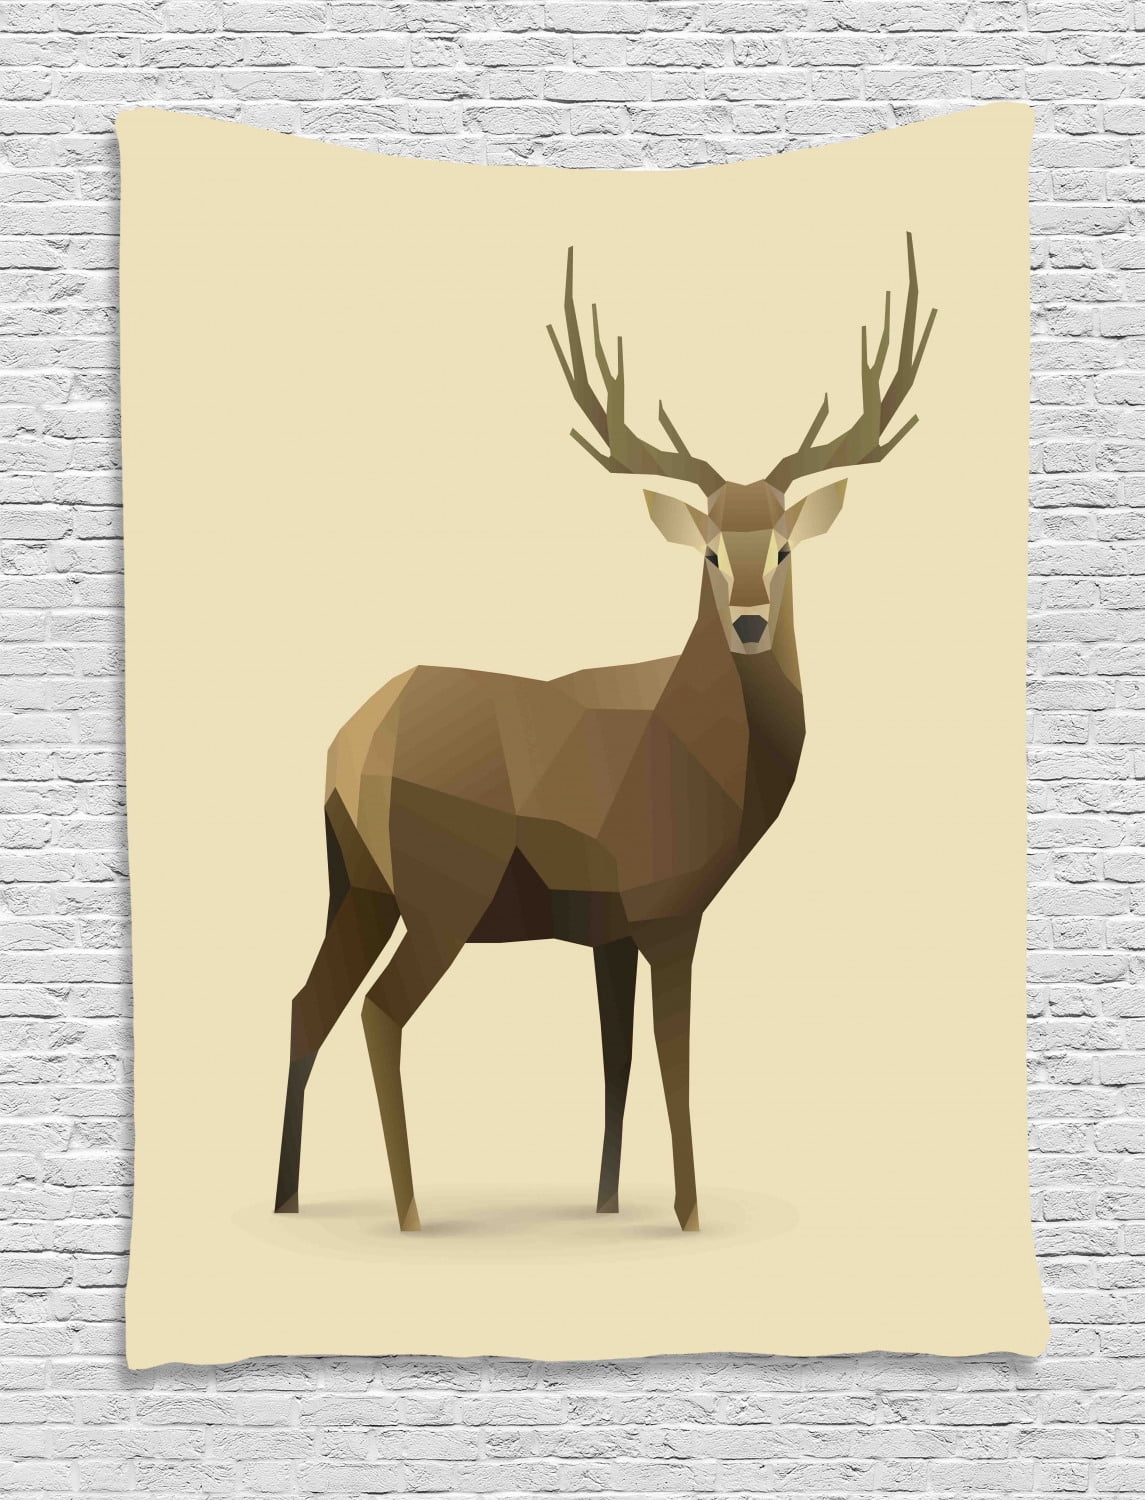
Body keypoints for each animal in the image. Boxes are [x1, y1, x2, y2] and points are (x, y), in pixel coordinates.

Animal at [274, 234, 936, 1232]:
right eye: (710, 551)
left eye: (783, 547)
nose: (749, 621)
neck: (701, 757)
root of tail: (344, 754)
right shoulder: (668, 906)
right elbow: (674, 1062)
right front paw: (689, 1216)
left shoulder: (606, 928)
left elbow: (615, 1059)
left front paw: (607, 1203)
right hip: (441, 888)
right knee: (379, 1012)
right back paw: (410, 1213)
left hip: (355, 883)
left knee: (305, 1001)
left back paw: (286, 1201)